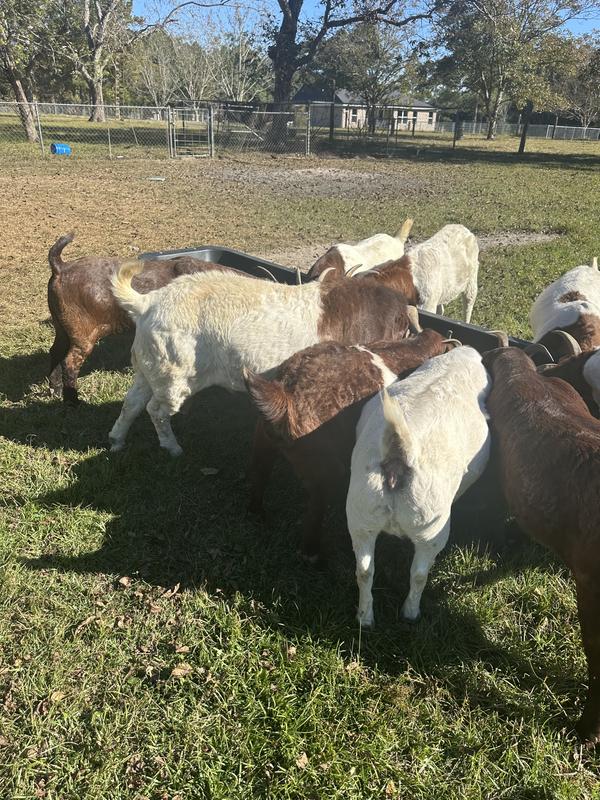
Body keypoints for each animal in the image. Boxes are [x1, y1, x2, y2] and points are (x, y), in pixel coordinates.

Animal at [47, 233, 239, 404]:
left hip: (62, 328)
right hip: (84, 334)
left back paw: (55, 390)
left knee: (55, 352)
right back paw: (72, 401)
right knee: (69, 362)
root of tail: (61, 267)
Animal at [108, 263, 420, 456]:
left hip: (150, 365)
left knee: (132, 402)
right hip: (174, 373)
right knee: (156, 409)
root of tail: (146, 302)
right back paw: (172, 447)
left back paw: (116, 441)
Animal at [244, 330, 451, 562]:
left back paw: (256, 512)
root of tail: (285, 397)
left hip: (262, 442)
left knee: (261, 473)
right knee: (315, 509)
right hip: (326, 470)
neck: (417, 347)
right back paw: (313, 553)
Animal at [347, 346, 491, 627]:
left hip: (361, 515)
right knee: (419, 574)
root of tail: (399, 454)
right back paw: (410, 613)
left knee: (365, 570)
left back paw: (365, 618)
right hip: (430, 527)